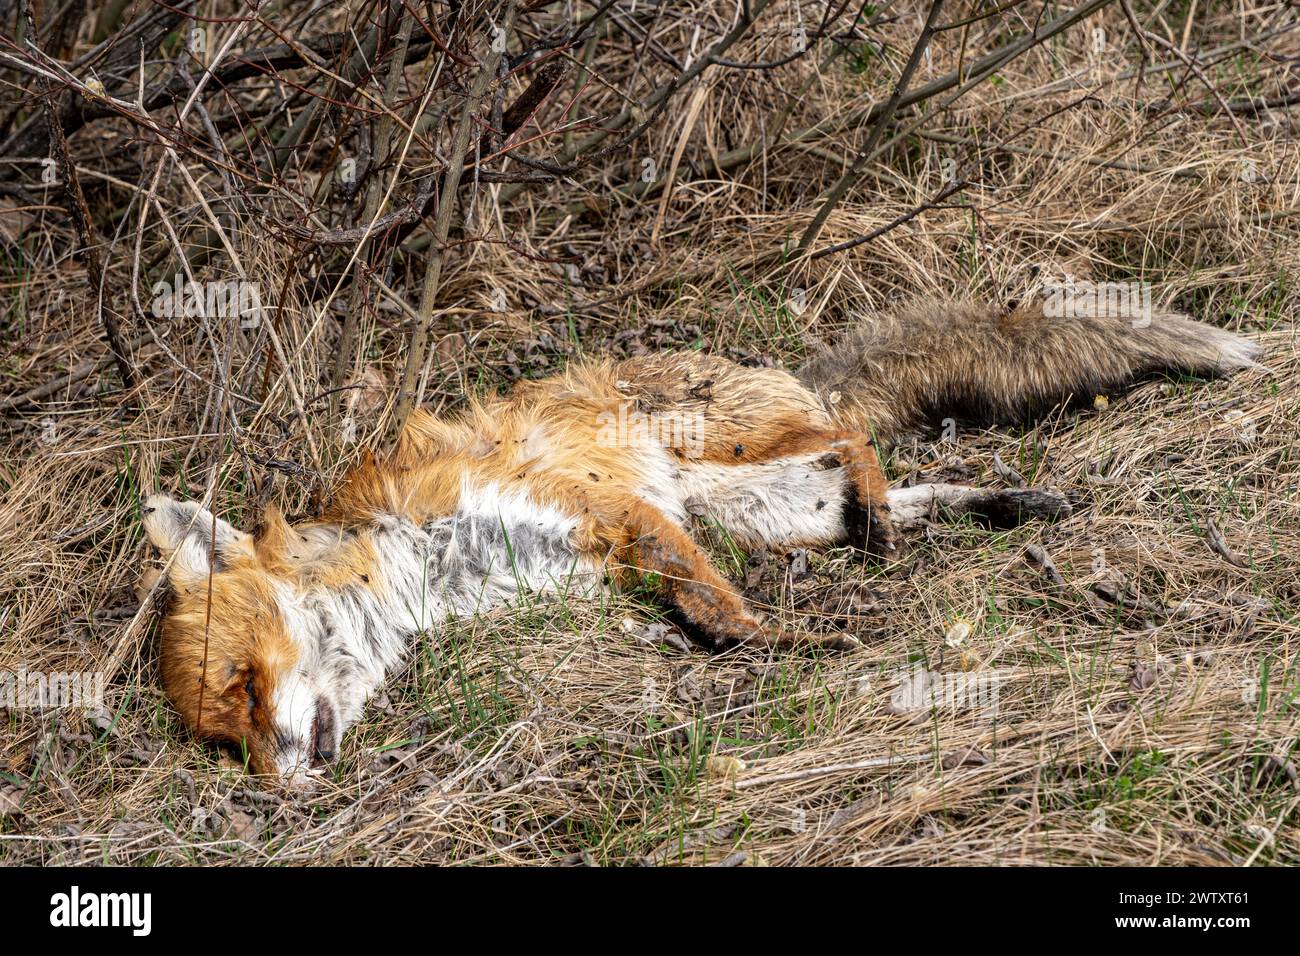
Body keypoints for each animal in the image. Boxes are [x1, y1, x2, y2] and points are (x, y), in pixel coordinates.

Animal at [140, 300, 1261, 780]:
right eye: (226, 732)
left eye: (242, 684)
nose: (282, 786)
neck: (416, 560)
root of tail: (787, 365)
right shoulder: (606, 562)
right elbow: (705, 611)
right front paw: (759, 643)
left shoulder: (613, 508)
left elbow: (727, 609)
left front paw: (797, 647)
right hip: (760, 503)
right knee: (876, 492)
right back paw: (1002, 508)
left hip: (721, 452)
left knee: (854, 441)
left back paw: (904, 516)